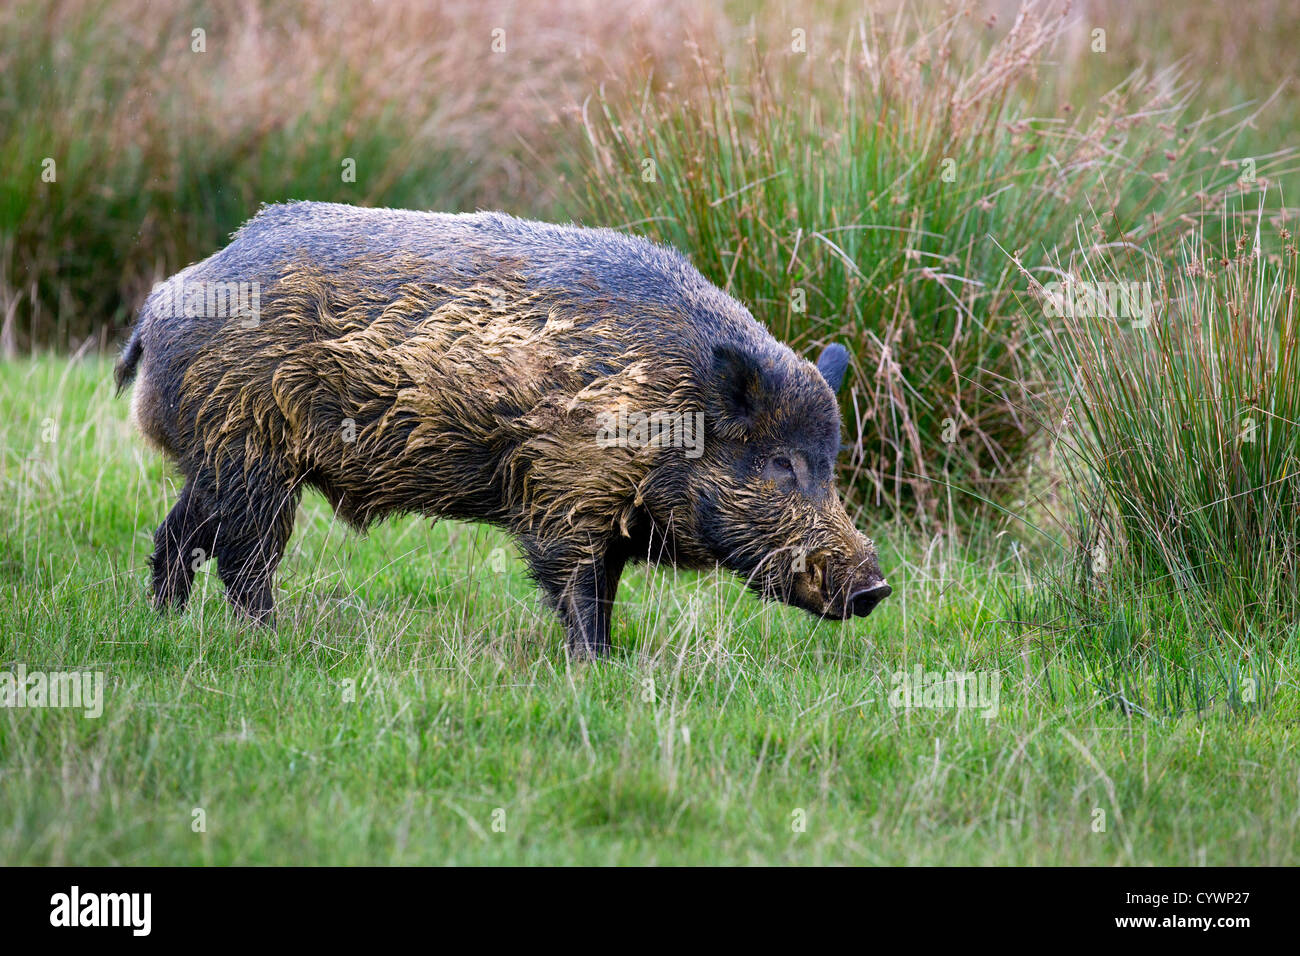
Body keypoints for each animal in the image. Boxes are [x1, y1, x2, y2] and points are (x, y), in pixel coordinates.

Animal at [115, 202, 890, 656]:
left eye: (830, 463)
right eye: (783, 464)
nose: (875, 589)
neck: (671, 406)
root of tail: (161, 304)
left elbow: (607, 588)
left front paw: (609, 659)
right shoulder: (566, 490)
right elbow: (576, 586)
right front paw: (595, 666)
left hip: (219, 460)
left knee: (179, 534)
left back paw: (166, 623)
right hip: (253, 455)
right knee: (243, 557)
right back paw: (269, 641)